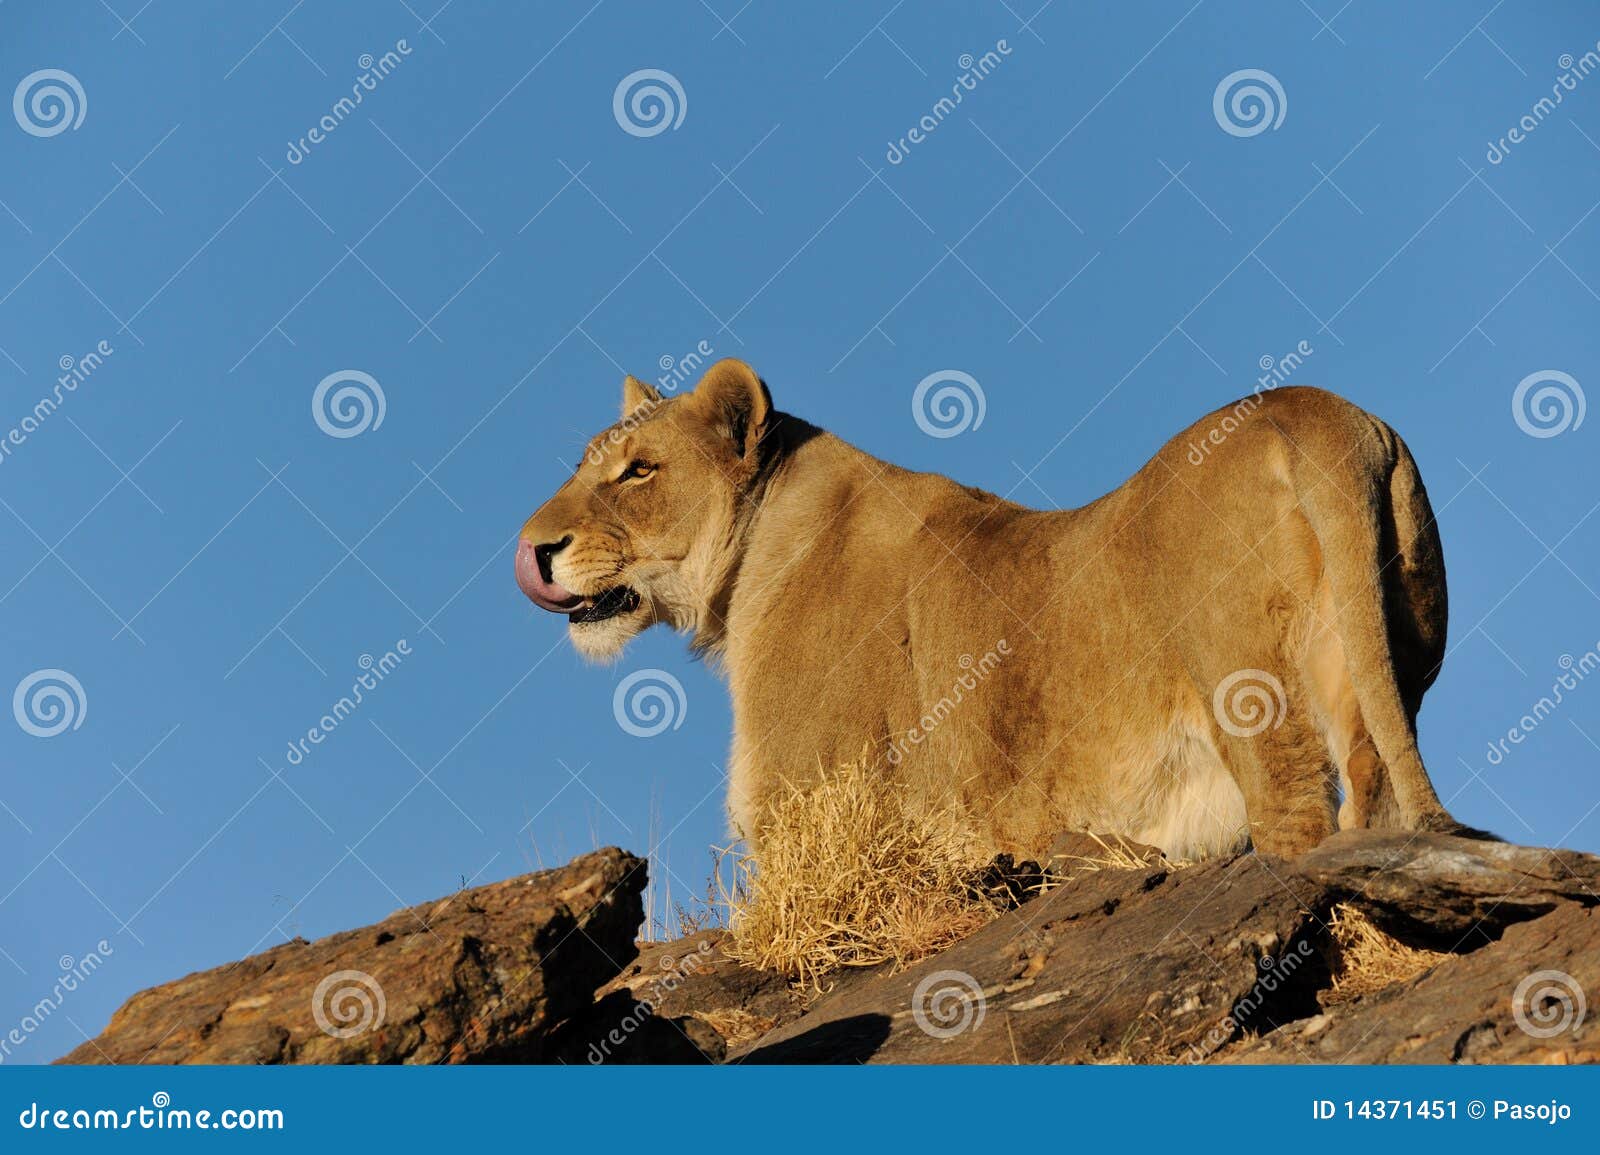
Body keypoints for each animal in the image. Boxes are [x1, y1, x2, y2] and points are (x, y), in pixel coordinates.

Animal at [516, 358, 1472, 861]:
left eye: (639, 470)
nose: (534, 547)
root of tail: (1314, 412)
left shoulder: (805, 817)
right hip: (1386, 669)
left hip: (1252, 699)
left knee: (1296, 818)